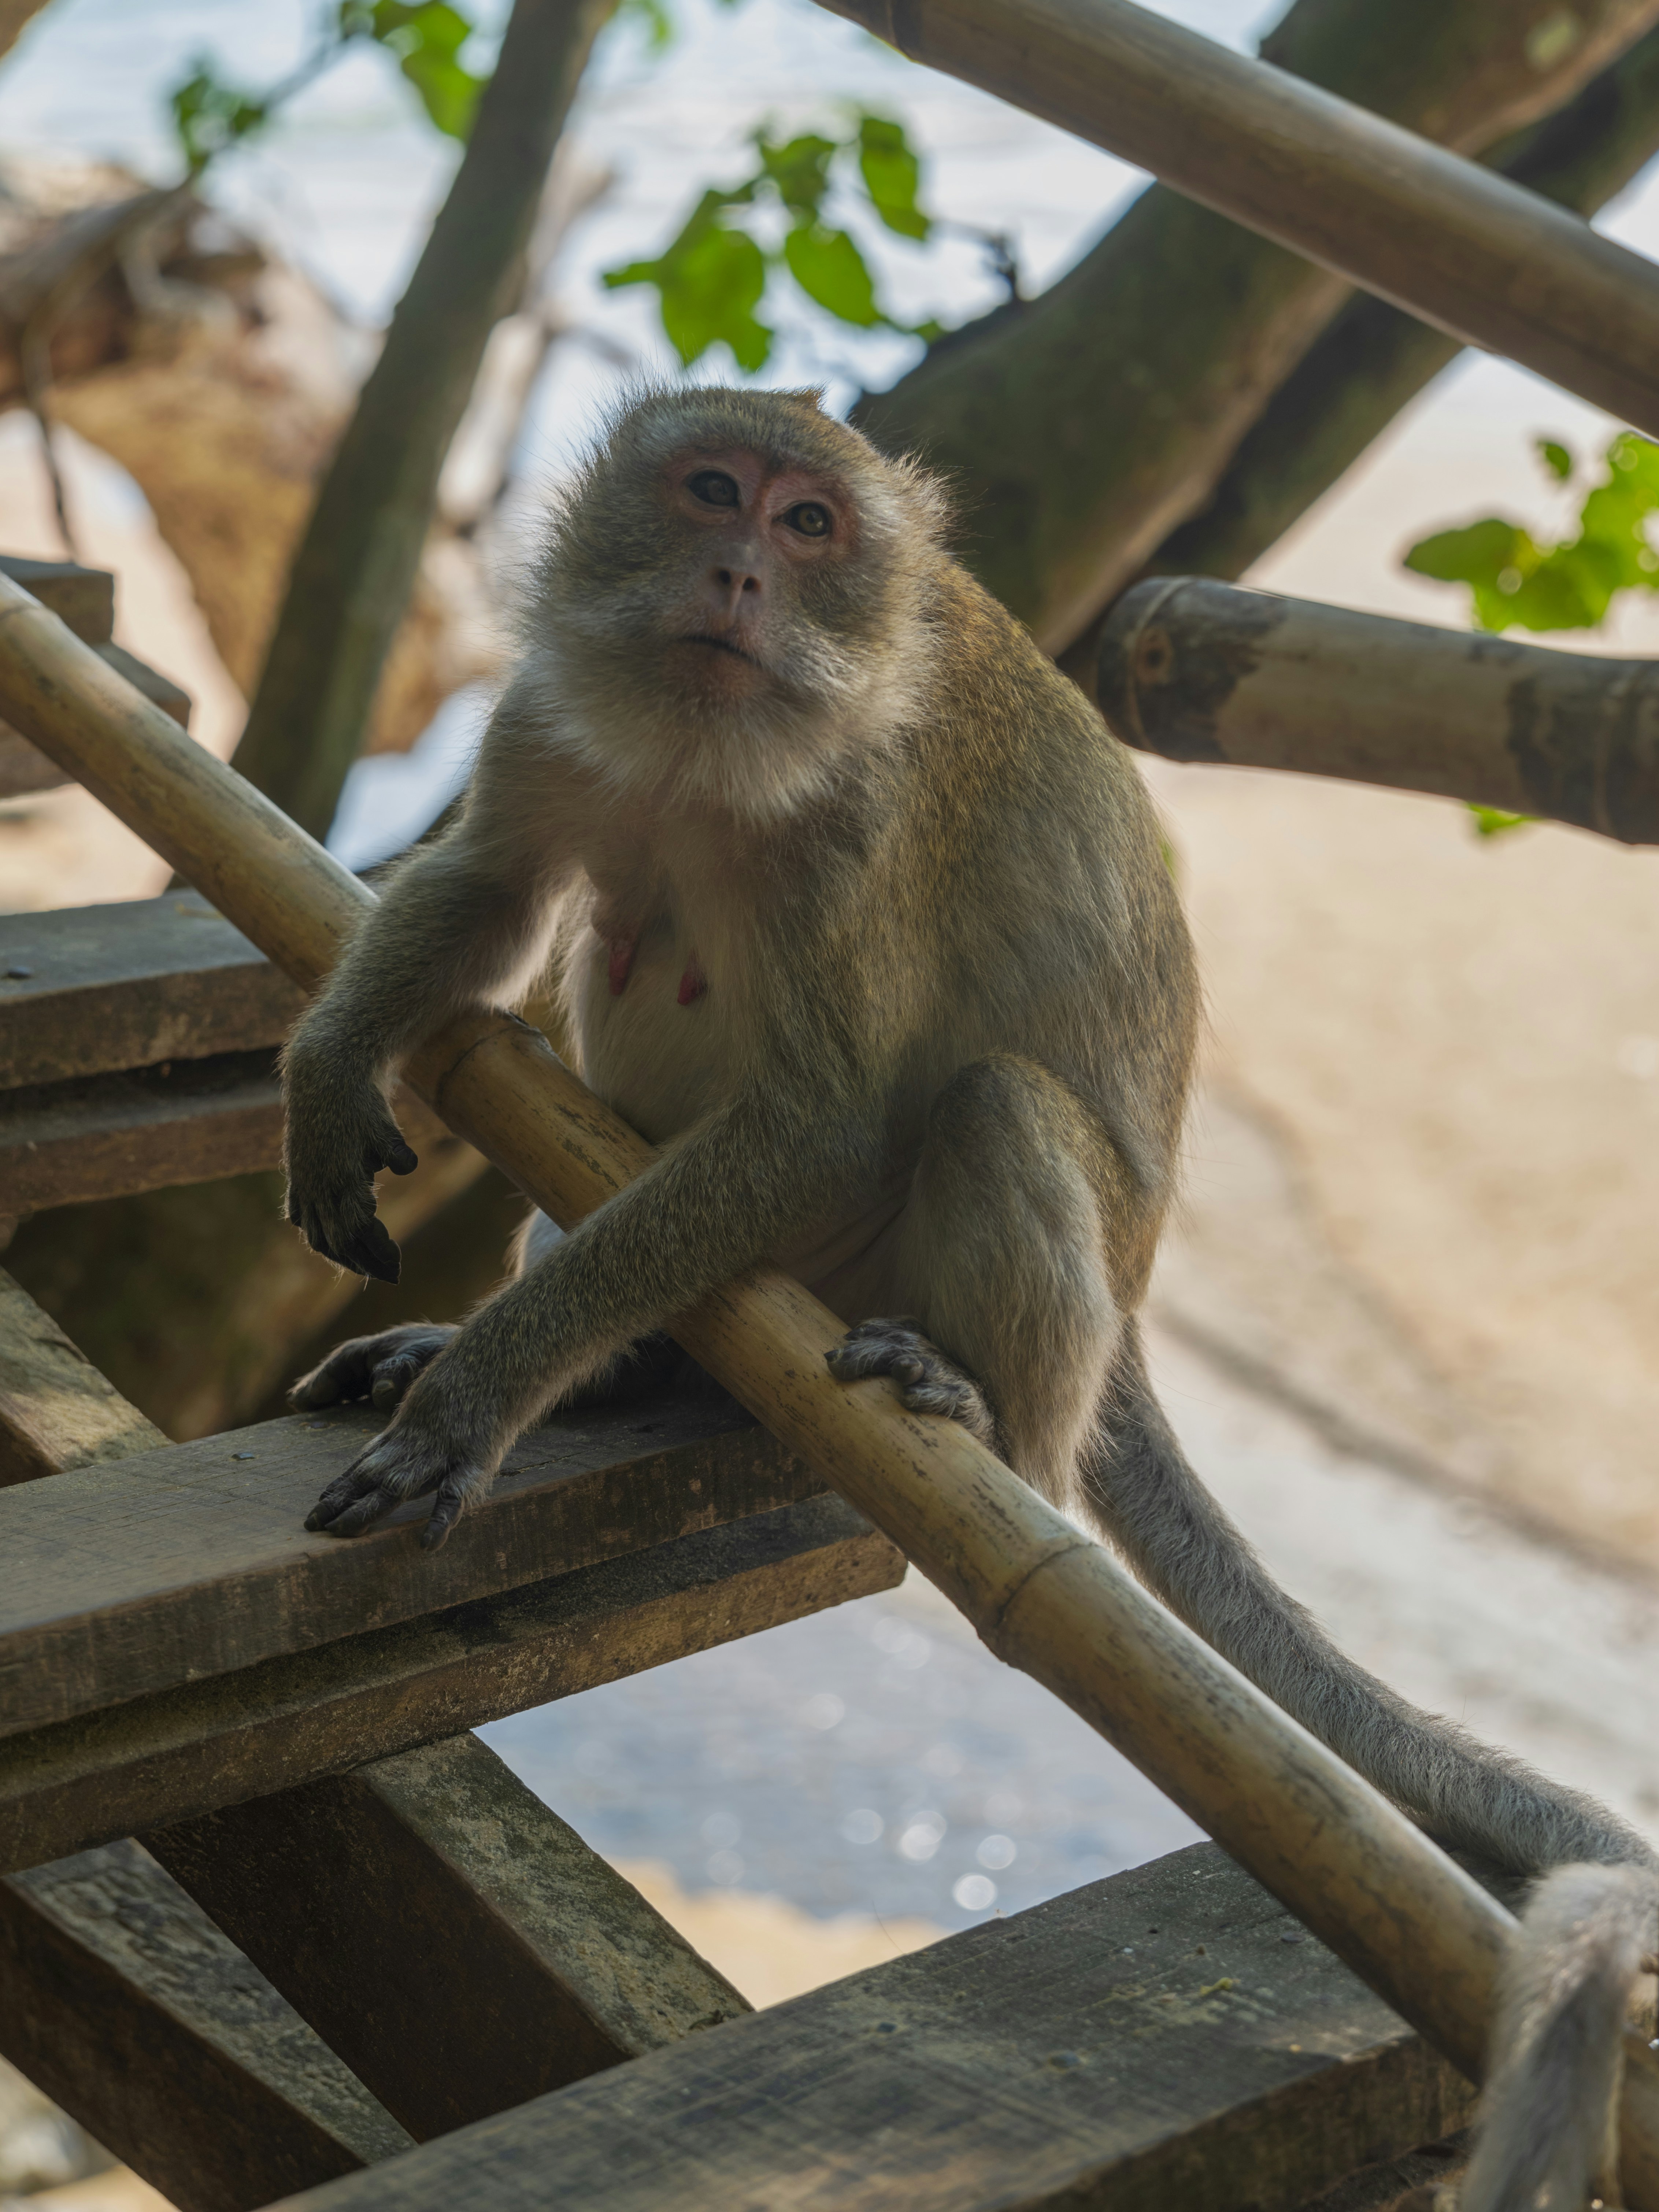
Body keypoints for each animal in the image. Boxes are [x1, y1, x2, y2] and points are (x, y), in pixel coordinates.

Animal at [282, 385, 1657, 2210]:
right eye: (711, 491)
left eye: (810, 529)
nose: (737, 571)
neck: (704, 750)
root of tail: (1126, 1322)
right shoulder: (551, 714)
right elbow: (491, 895)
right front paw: (326, 1083)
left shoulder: (860, 820)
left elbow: (828, 1113)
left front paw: (481, 1394)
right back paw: (634, 1363)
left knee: (990, 1106)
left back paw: (988, 1423)